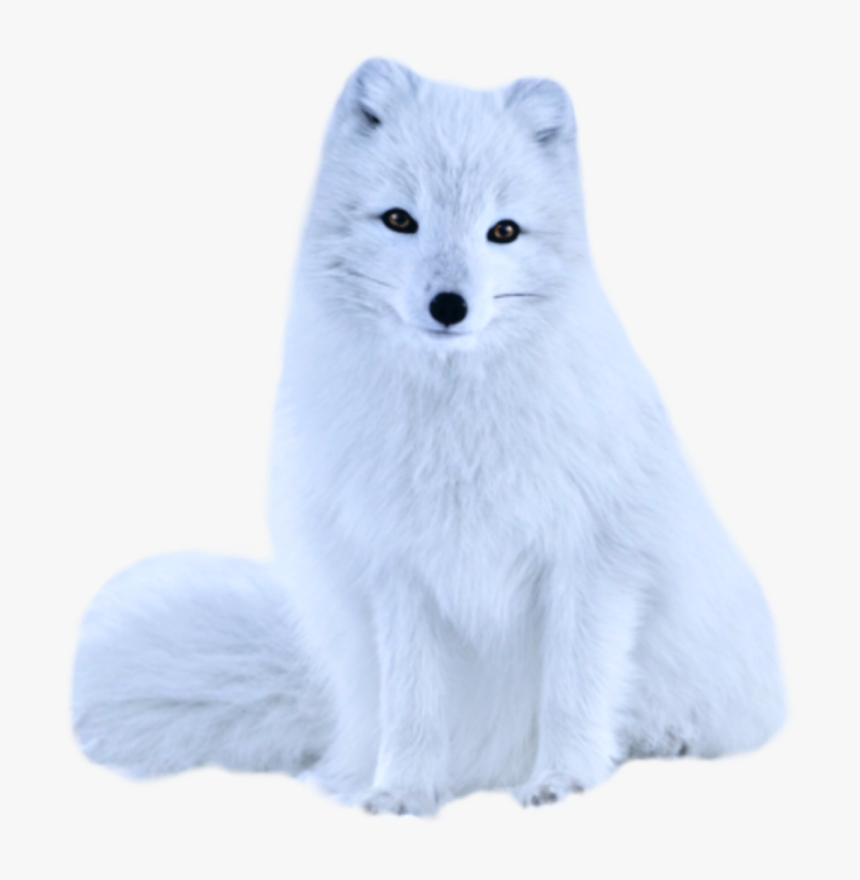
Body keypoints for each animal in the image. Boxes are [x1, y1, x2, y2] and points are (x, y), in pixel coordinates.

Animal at [72, 58, 785, 816]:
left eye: (503, 231)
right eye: (399, 220)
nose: (449, 305)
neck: (456, 432)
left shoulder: (591, 559)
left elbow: (573, 690)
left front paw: (562, 781)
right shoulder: (398, 573)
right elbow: (414, 704)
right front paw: (404, 793)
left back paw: (662, 738)